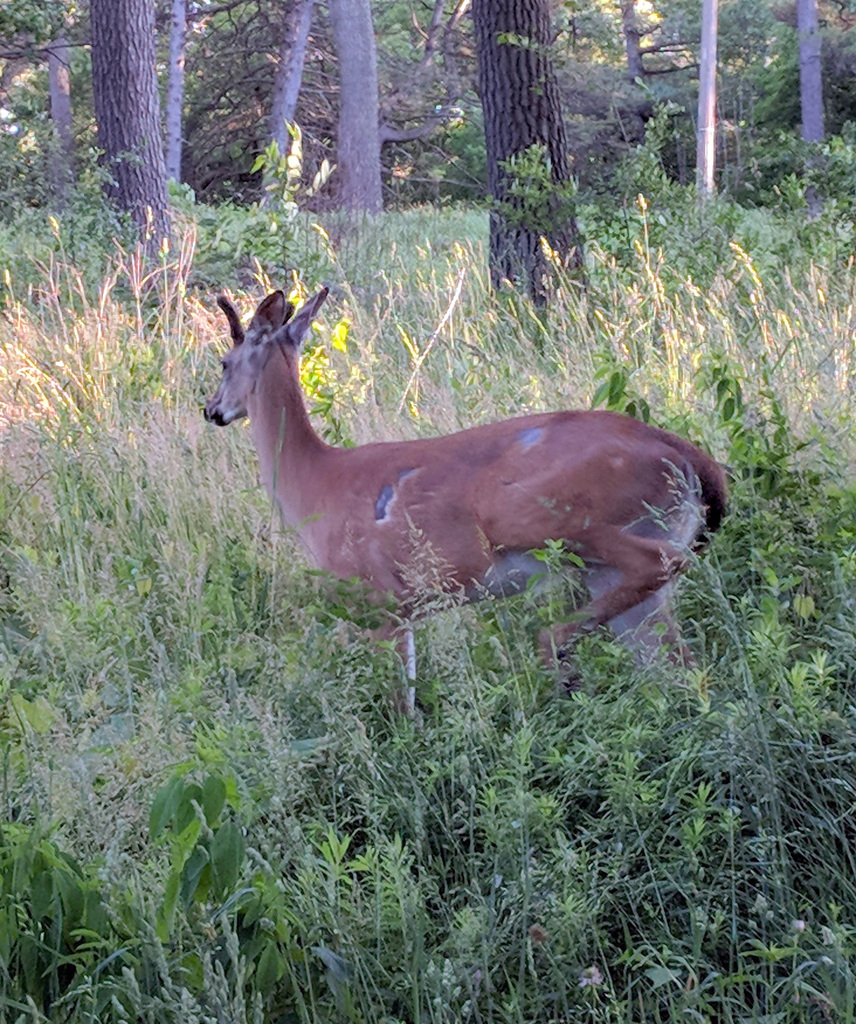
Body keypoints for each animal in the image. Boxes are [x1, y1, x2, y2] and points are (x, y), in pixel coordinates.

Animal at [204, 287, 727, 710]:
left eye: (224, 363)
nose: (211, 409)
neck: (314, 483)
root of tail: (688, 456)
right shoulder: (403, 609)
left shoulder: (379, 598)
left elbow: (402, 708)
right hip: (624, 567)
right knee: (679, 665)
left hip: (553, 519)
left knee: (657, 569)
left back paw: (553, 652)